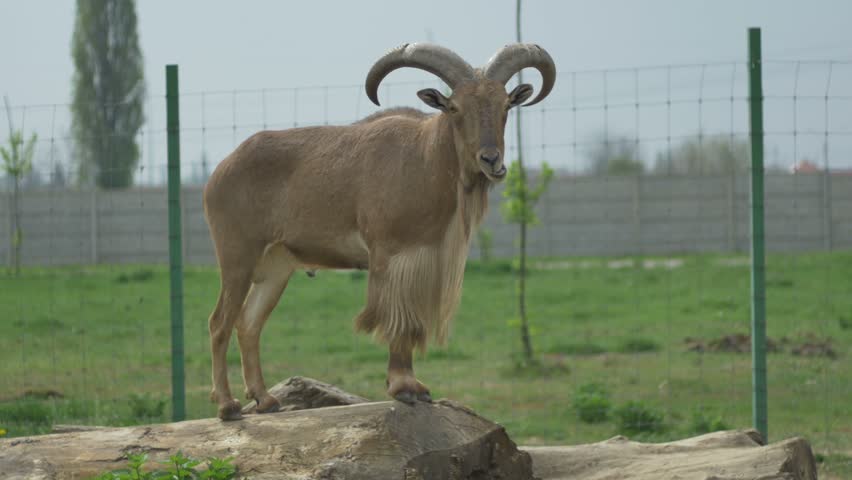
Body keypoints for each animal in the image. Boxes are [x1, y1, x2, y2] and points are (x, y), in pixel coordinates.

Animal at [203, 43, 556, 420]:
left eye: (505, 106)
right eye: (455, 108)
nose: (491, 160)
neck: (425, 159)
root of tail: (220, 171)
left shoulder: (424, 260)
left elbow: (412, 325)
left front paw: (417, 387)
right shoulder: (390, 255)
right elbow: (397, 322)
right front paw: (403, 388)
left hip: (275, 269)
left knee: (248, 323)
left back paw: (265, 400)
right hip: (237, 258)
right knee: (220, 322)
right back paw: (228, 405)